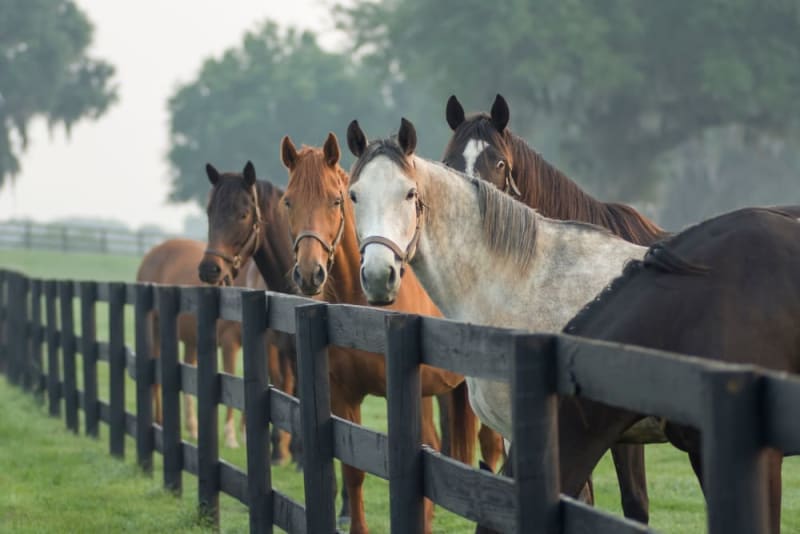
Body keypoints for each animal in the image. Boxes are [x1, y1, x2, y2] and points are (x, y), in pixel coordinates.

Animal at [136, 238, 294, 459]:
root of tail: (153, 252)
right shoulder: (230, 343)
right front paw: (231, 436)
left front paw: (245, 433)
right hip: (156, 328)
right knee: (156, 378)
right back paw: (159, 421)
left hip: (192, 341)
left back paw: (192, 428)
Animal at [279, 133, 504, 533]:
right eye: (288, 201)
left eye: (335, 200)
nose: (309, 273)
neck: (361, 312)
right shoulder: (343, 397)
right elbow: (353, 470)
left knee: (487, 449)